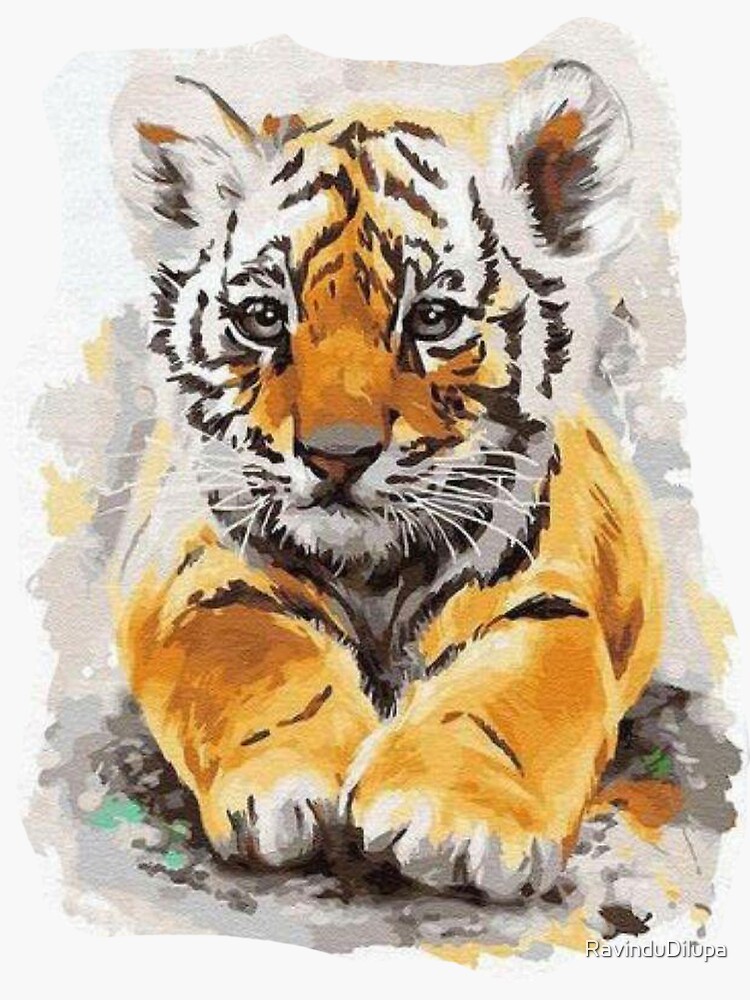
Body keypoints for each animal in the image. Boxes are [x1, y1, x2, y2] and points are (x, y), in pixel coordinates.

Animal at [111, 58, 663, 901]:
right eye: (263, 317)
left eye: (433, 318)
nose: (338, 453)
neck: (372, 572)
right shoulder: (198, 566)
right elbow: (256, 653)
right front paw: (293, 779)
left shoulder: (546, 593)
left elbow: (504, 695)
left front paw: (454, 815)